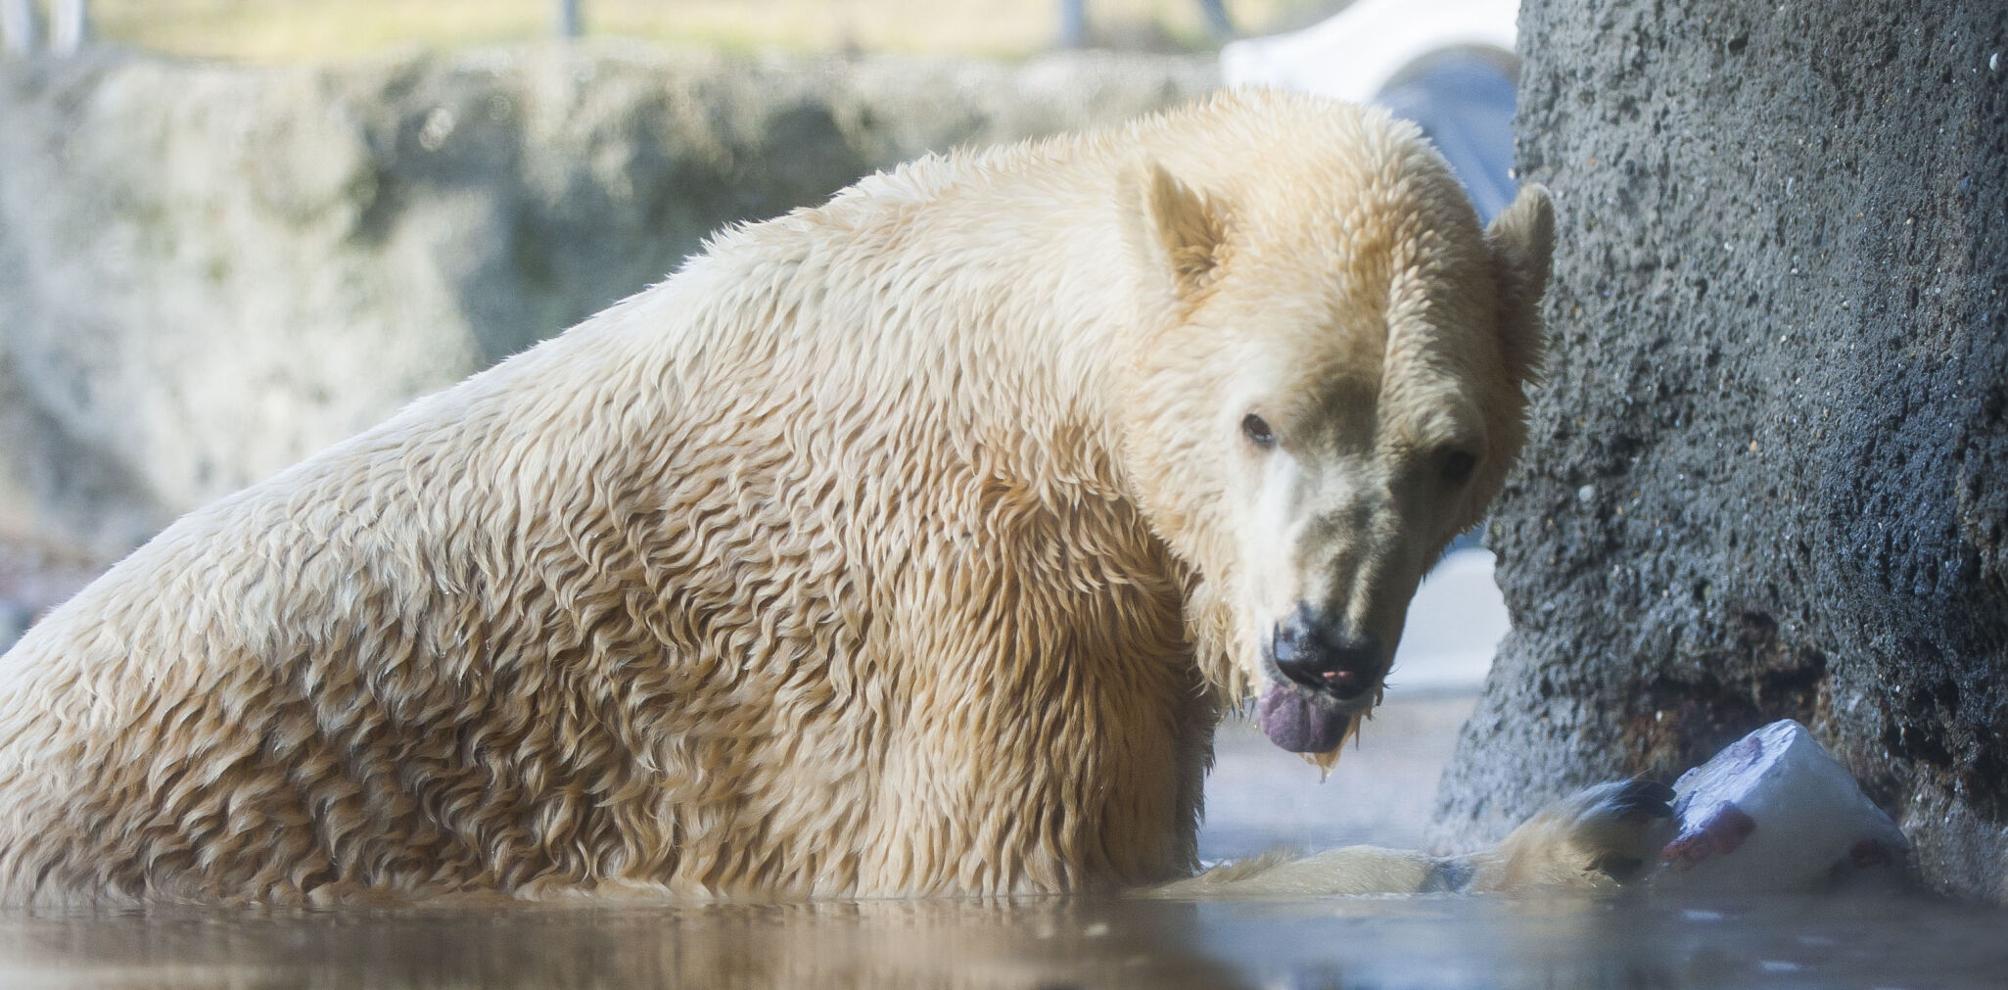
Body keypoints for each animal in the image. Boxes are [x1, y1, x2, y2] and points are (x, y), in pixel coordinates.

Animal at [0, 89, 1658, 905]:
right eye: (1259, 421)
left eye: (1449, 454)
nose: (1321, 648)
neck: (1033, 375)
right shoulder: (960, 600)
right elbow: (1028, 872)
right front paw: (1575, 832)